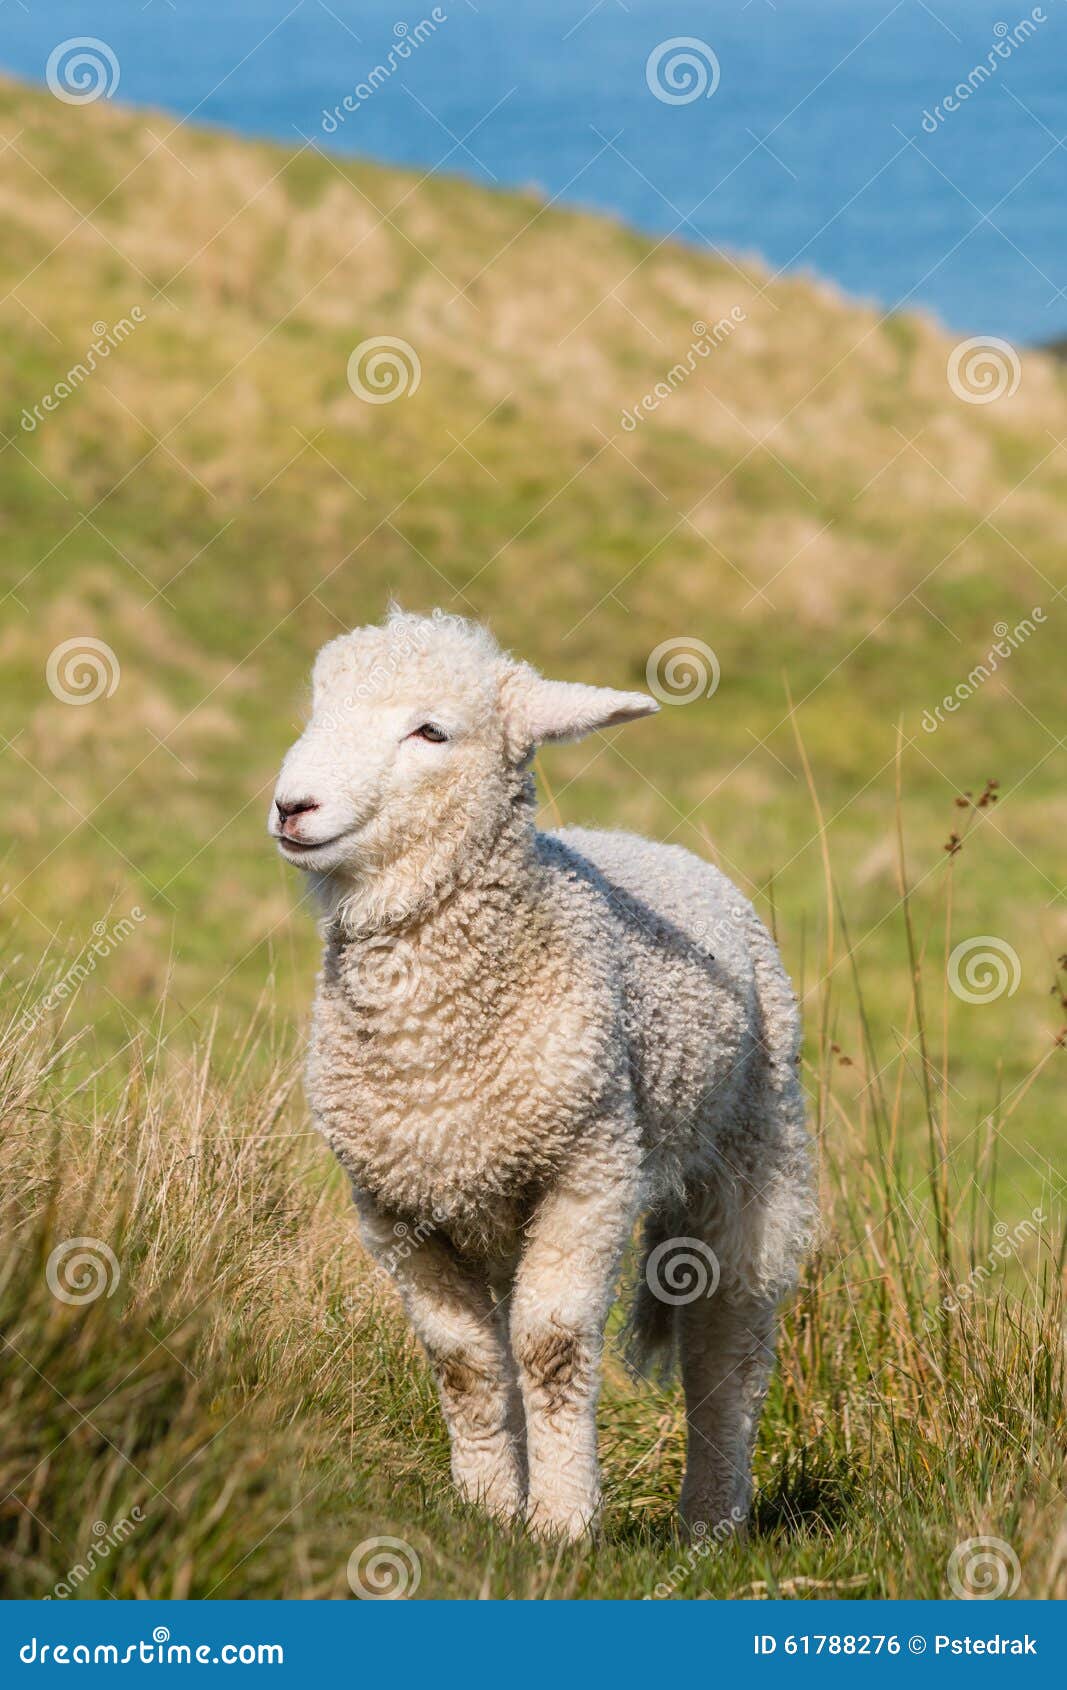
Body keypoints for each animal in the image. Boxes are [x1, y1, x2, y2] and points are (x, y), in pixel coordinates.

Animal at [270, 608, 815, 1543]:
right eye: (319, 708)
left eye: (430, 731)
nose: (291, 806)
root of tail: (646, 842)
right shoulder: (394, 1205)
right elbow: (463, 1361)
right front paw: (489, 1512)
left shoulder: (588, 1170)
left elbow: (551, 1346)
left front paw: (562, 1524)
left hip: (753, 1155)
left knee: (728, 1343)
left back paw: (709, 1522)